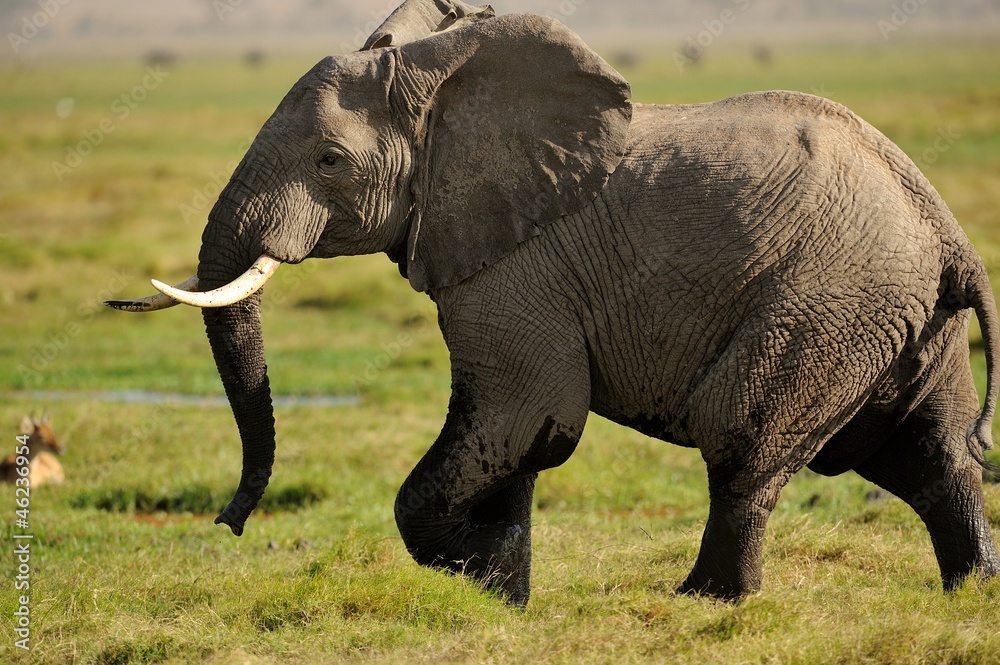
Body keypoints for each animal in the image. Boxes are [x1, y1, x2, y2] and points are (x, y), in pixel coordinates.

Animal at [108, 2, 1000, 607]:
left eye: (329, 160)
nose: (228, 524)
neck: (441, 90)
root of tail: (948, 231)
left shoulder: (515, 267)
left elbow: (526, 417)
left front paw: (475, 577)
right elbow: (520, 440)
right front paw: (506, 595)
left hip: (828, 297)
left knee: (744, 440)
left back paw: (704, 602)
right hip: (896, 311)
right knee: (930, 453)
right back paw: (972, 590)